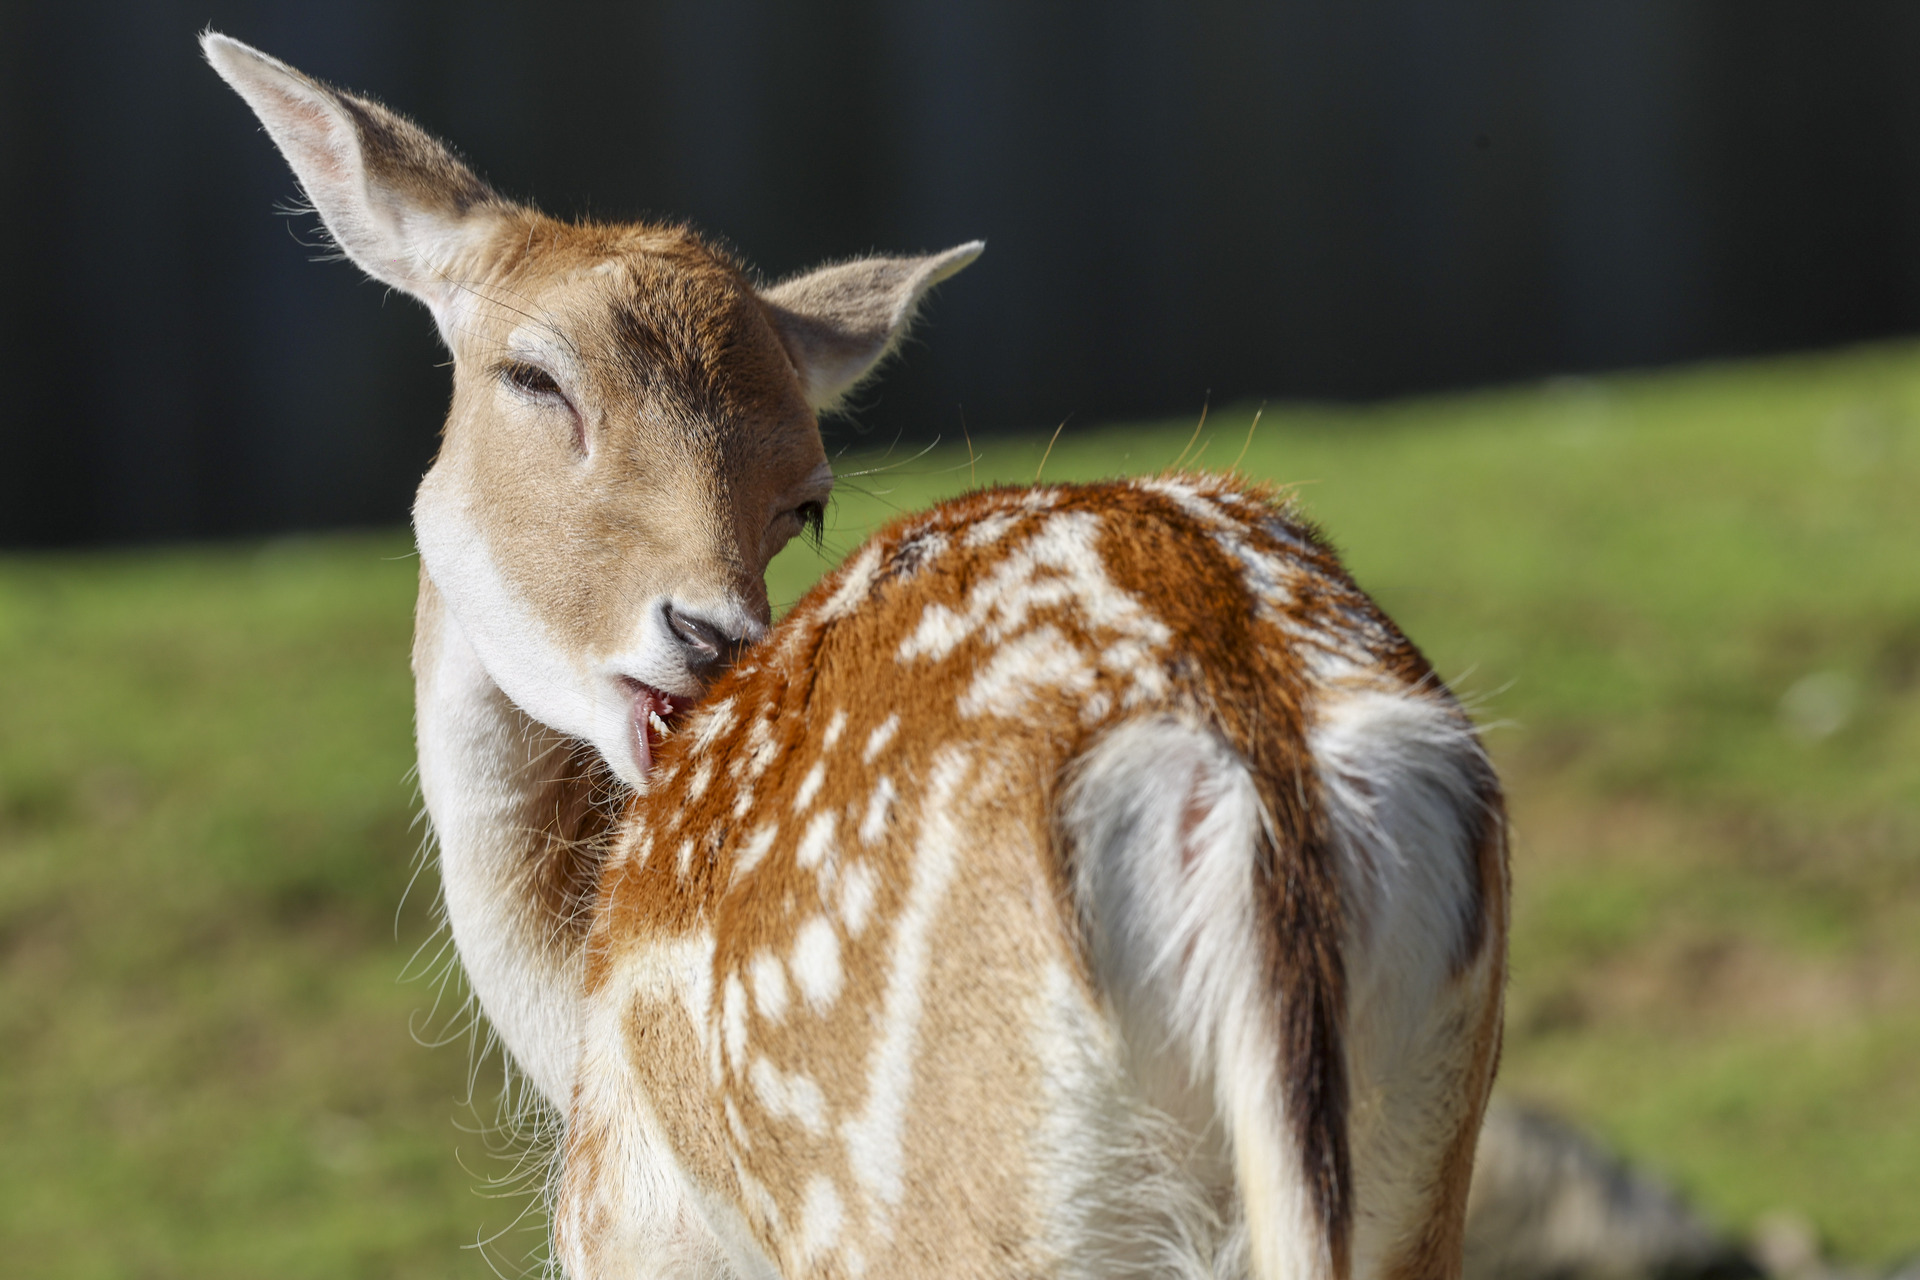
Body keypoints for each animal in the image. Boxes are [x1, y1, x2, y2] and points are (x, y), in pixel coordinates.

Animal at [206, 32, 1508, 1280]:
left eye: (808, 498)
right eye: (531, 376)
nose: (710, 636)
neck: (570, 1012)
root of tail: (1252, 783)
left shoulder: (627, 1226)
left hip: (919, 1204)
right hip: (1416, 1169)